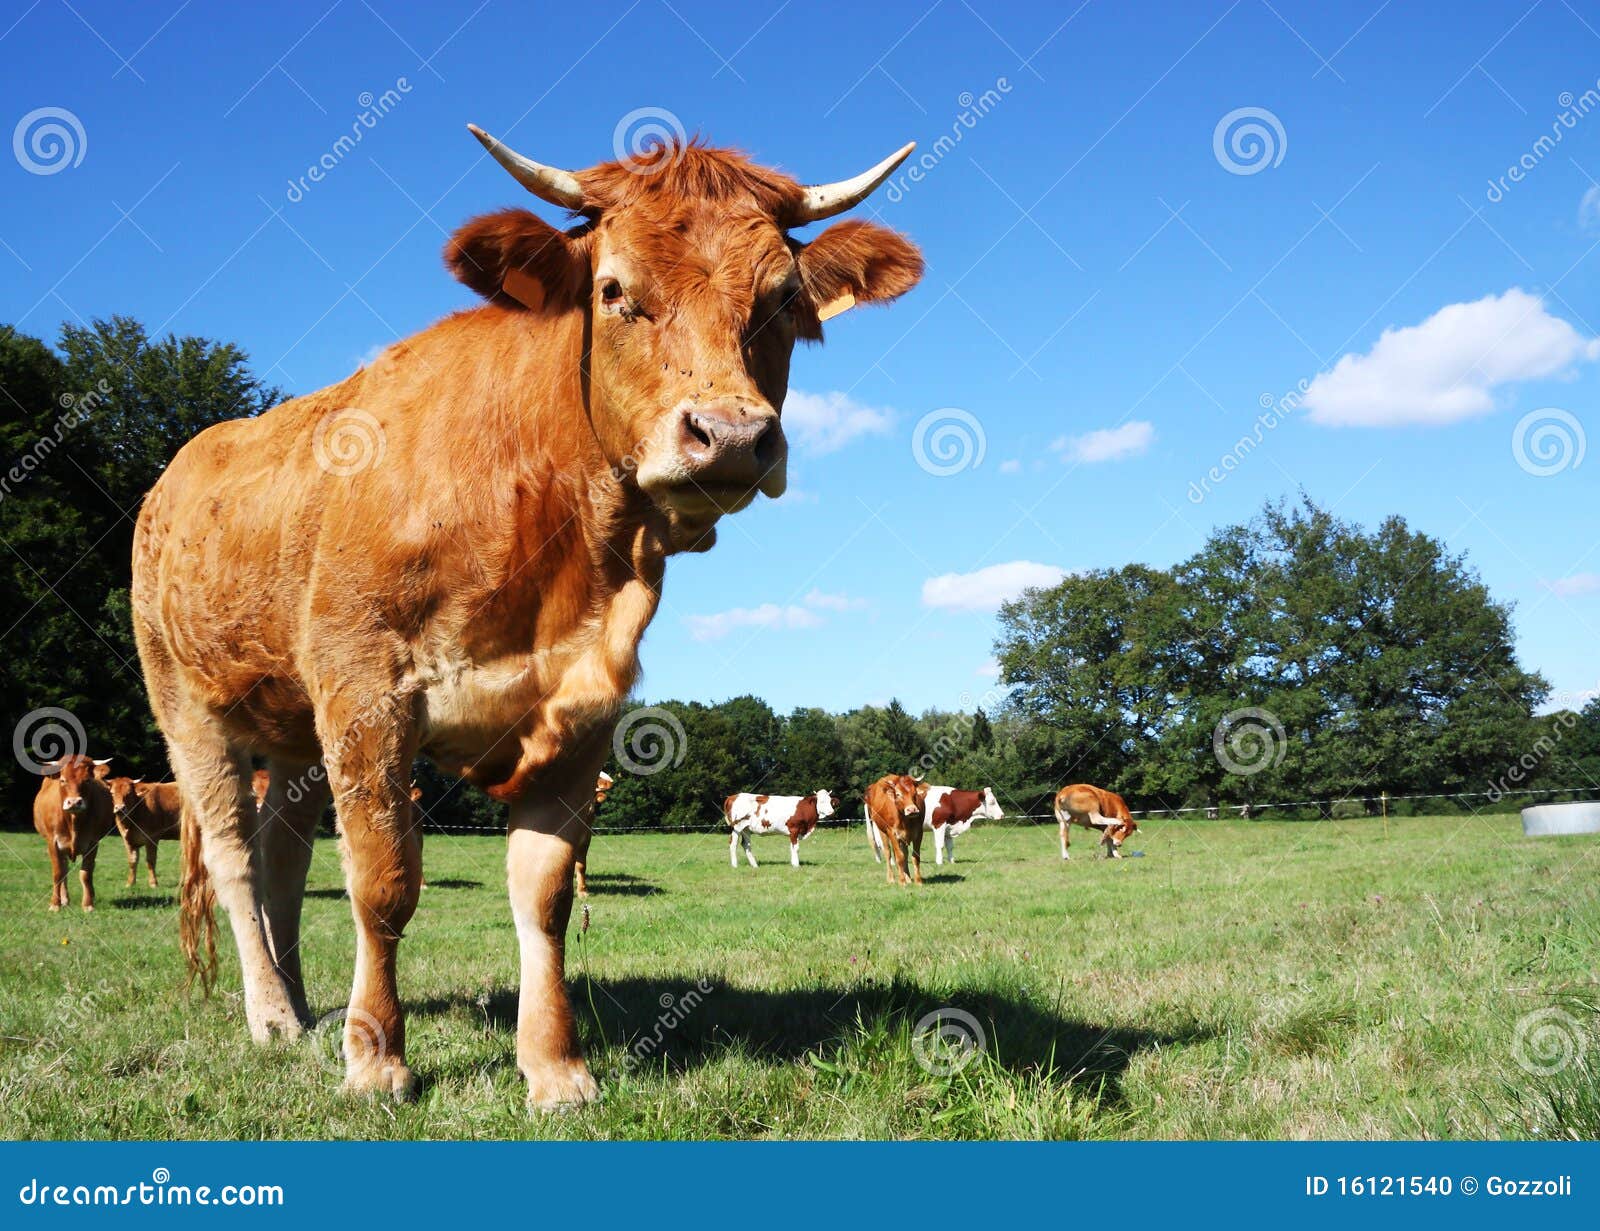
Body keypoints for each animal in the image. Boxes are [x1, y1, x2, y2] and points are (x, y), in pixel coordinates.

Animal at [32, 755, 115, 911]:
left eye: (87, 780)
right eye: (62, 780)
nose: (74, 802)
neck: (73, 822)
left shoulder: (92, 843)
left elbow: (86, 874)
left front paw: (88, 904)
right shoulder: (53, 842)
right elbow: (58, 873)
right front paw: (55, 904)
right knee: (64, 869)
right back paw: (64, 899)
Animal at [130, 128, 921, 1108]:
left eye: (781, 298)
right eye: (614, 289)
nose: (733, 436)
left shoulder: (582, 704)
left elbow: (542, 895)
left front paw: (554, 1066)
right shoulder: (366, 694)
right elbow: (384, 883)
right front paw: (378, 1058)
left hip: (293, 729)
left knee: (283, 854)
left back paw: (306, 1005)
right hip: (191, 708)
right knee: (237, 858)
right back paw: (273, 1016)